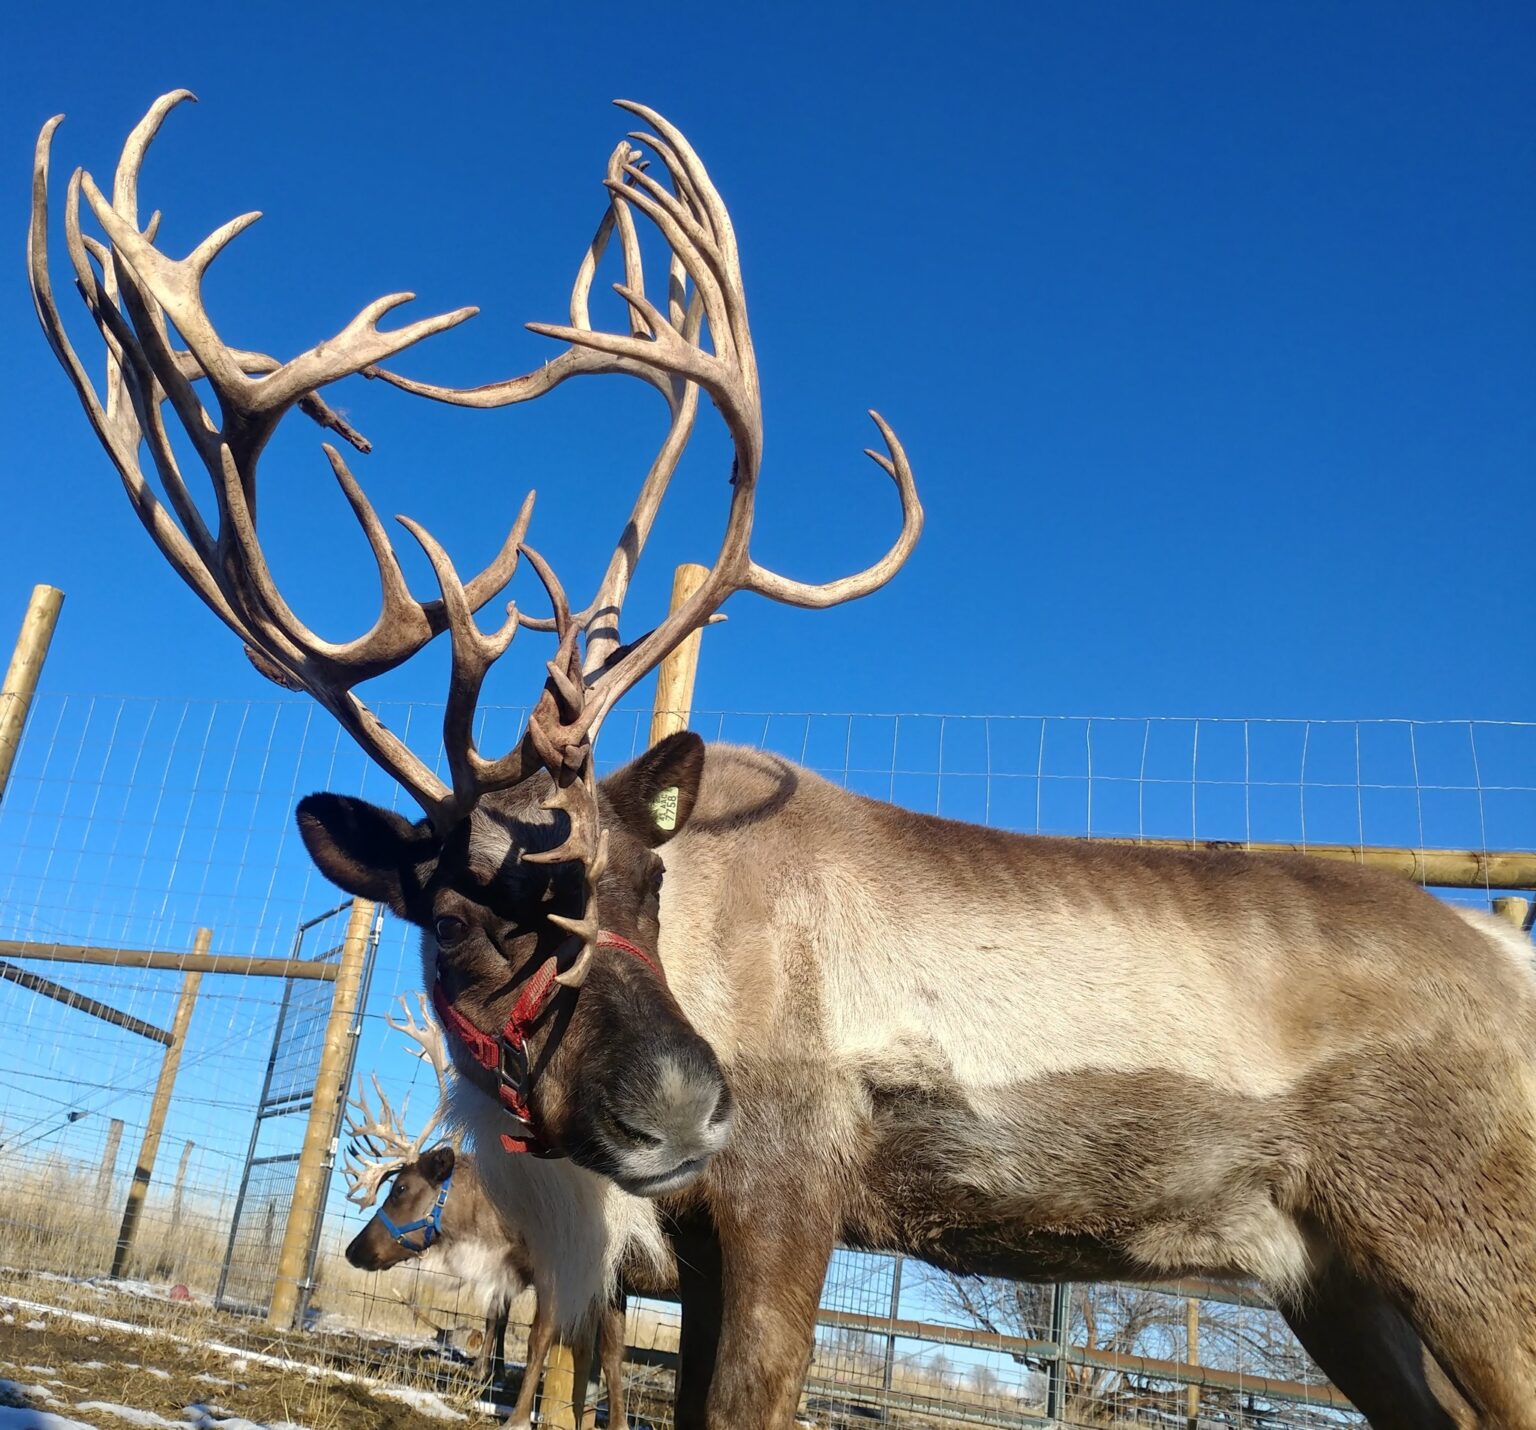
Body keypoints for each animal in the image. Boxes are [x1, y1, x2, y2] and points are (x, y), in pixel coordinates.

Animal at [341, 996, 633, 1429]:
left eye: (401, 1188)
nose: (353, 1249)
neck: (494, 1228)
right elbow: (498, 1316)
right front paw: (487, 1373)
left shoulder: (555, 1267)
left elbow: (539, 1334)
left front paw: (517, 1412)